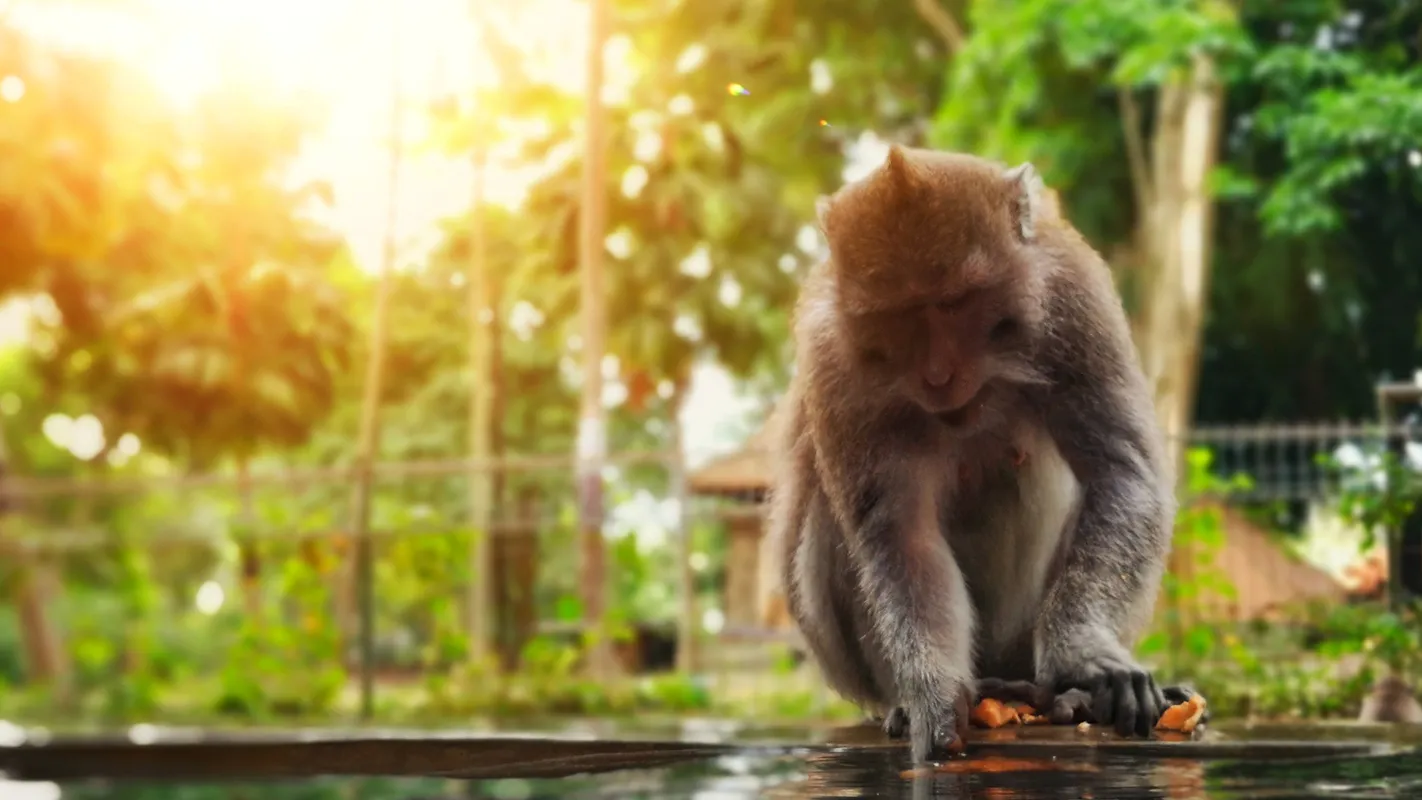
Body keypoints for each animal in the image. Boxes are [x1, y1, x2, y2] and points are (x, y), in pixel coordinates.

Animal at [768, 145, 1176, 764]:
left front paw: (1083, 655)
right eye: (898, 314)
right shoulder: (833, 354)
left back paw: (1064, 696)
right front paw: (932, 692)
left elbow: (1120, 472)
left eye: (956, 301)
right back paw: (909, 702)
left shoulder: (1073, 295)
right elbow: (902, 533)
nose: (938, 375)